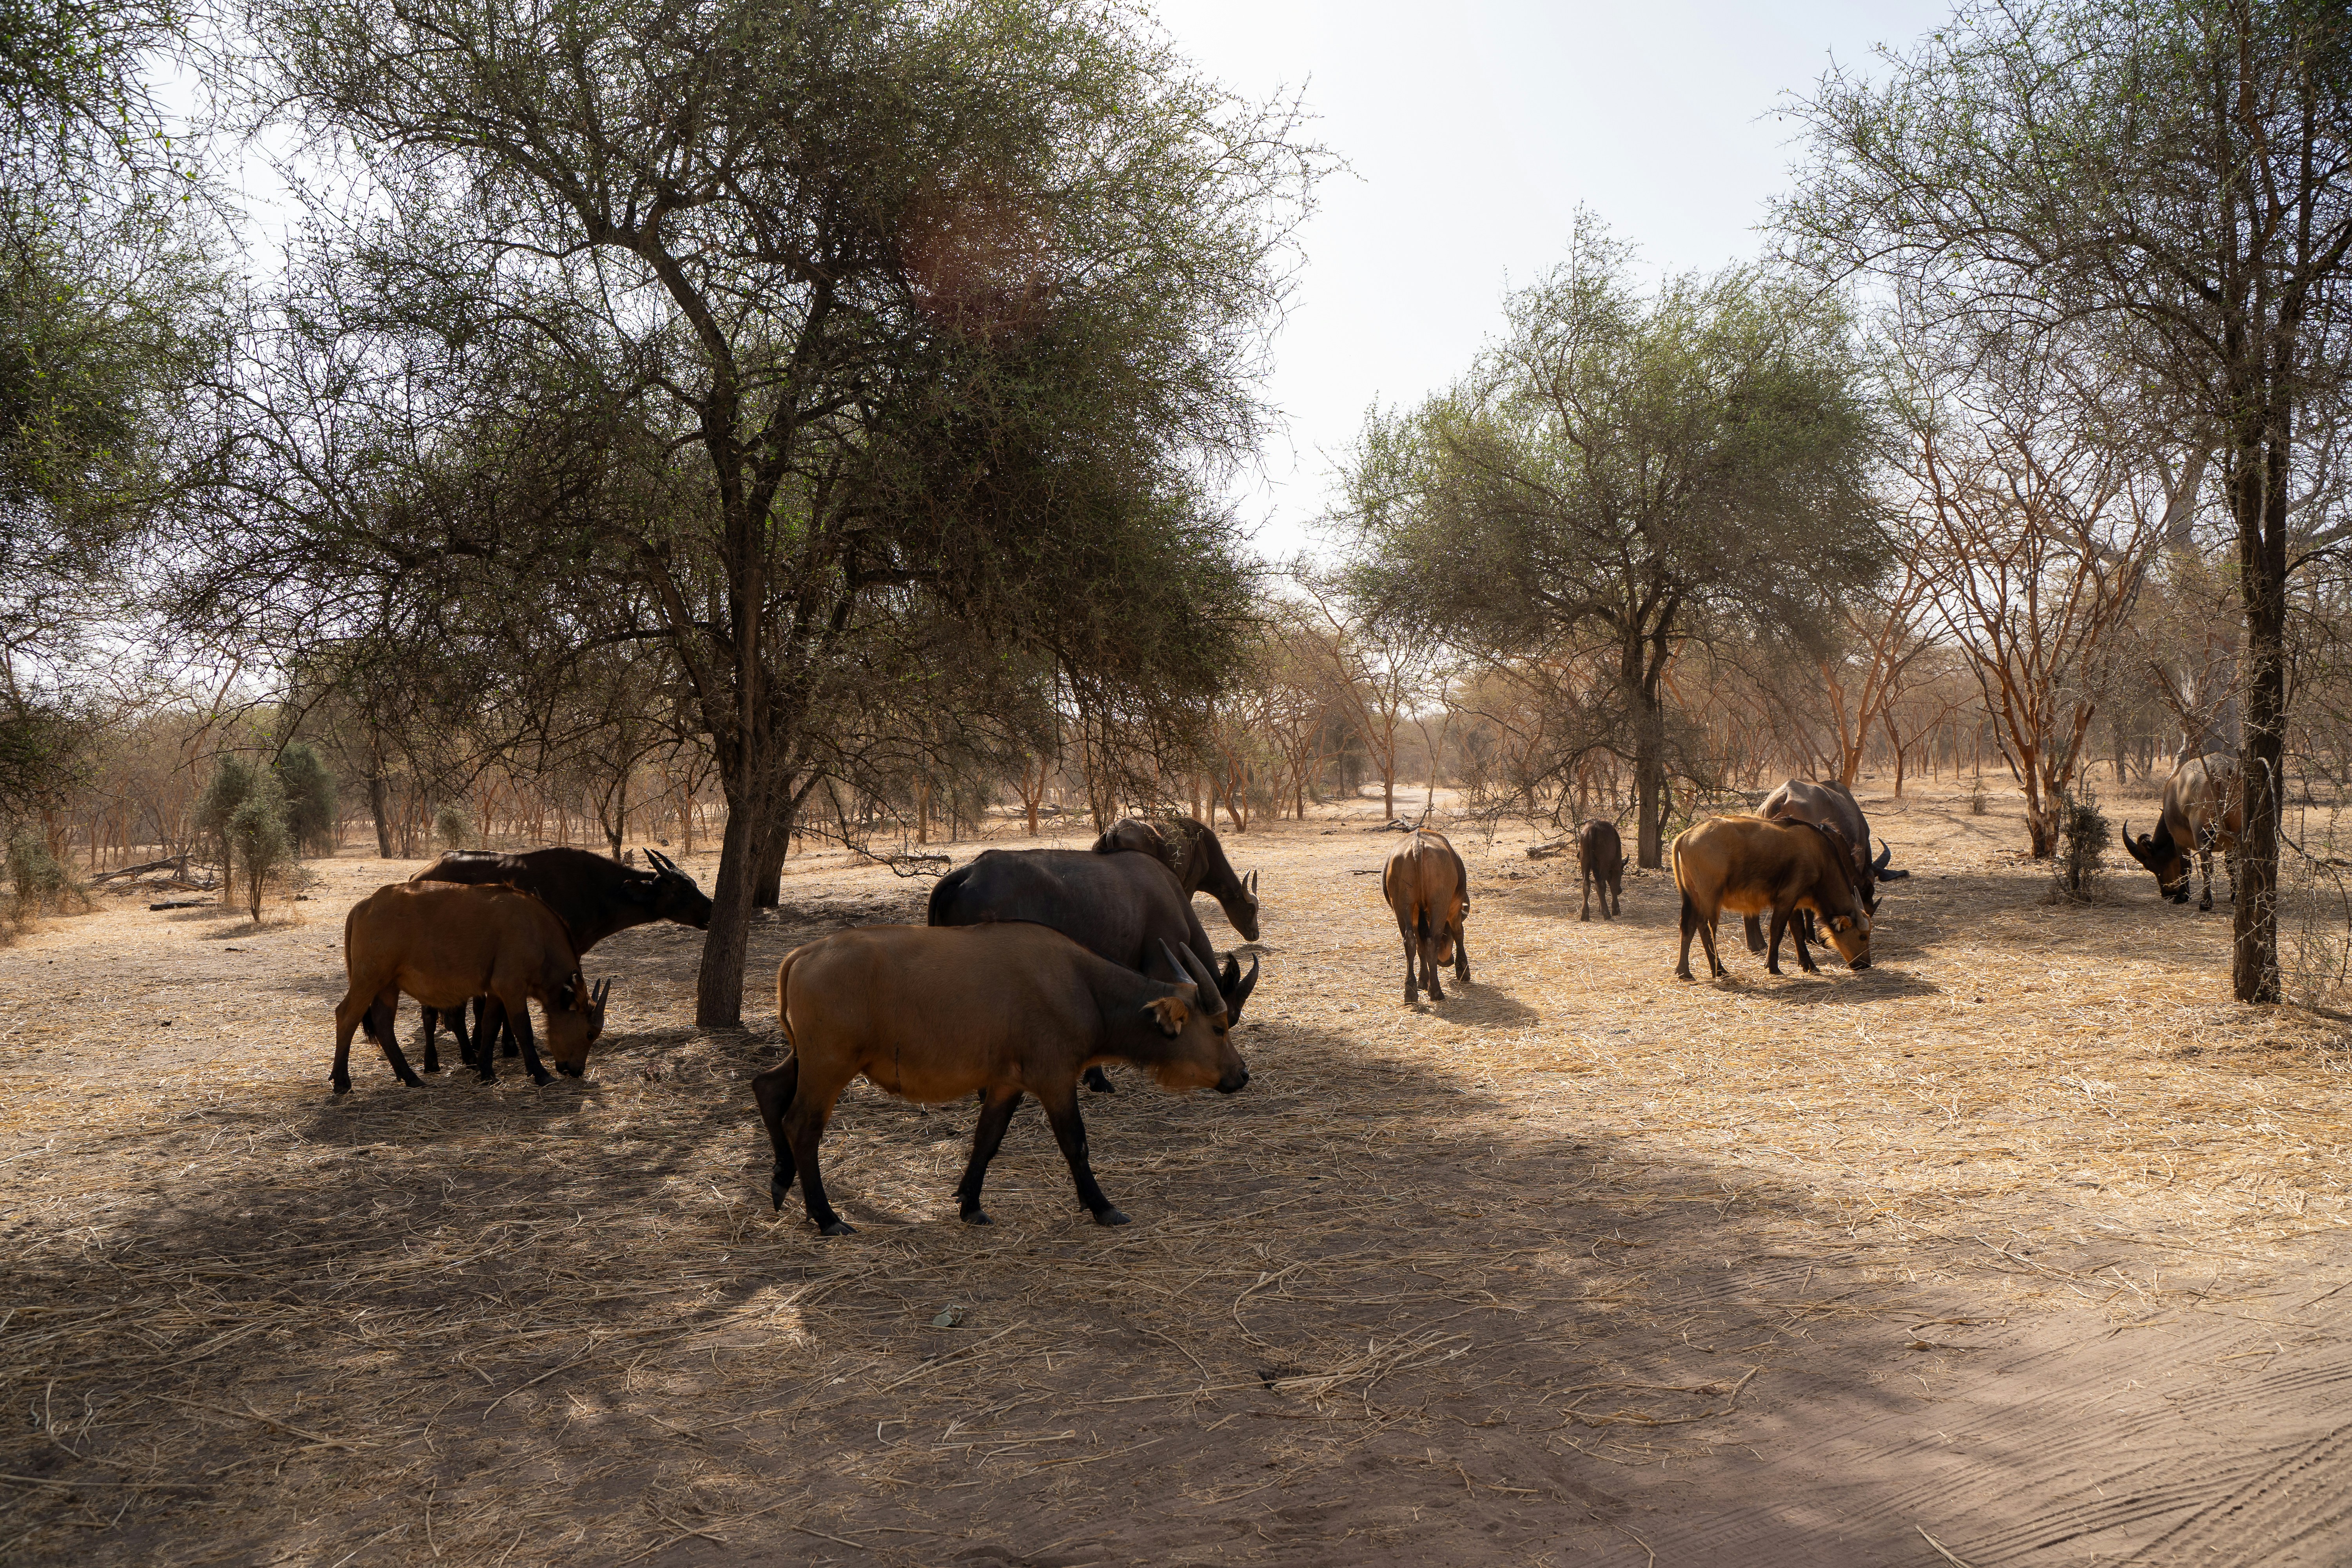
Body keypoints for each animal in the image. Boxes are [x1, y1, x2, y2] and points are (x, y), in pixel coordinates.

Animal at [754, 925, 1252, 1235]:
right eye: (1219, 1027)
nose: (1242, 1074)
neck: (1083, 986)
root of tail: (805, 953)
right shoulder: (1055, 1081)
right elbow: (1076, 1145)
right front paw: (1102, 1206)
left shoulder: (1007, 1085)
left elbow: (986, 1141)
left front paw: (970, 1204)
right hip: (829, 1066)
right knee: (801, 1125)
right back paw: (825, 1216)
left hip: (807, 1060)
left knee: (769, 1088)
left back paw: (781, 1179)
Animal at [1672, 816, 1872, 980]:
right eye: (1863, 937)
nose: (1865, 965)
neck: (1820, 857)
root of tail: (1687, 835)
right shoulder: (1787, 897)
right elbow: (1777, 929)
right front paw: (1773, 967)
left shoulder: (1795, 902)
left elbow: (1797, 931)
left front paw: (1808, 965)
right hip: (1711, 896)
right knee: (1706, 926)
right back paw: (1719, 970)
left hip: (1692, 896)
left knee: (1688, 926)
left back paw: (1684, 972)